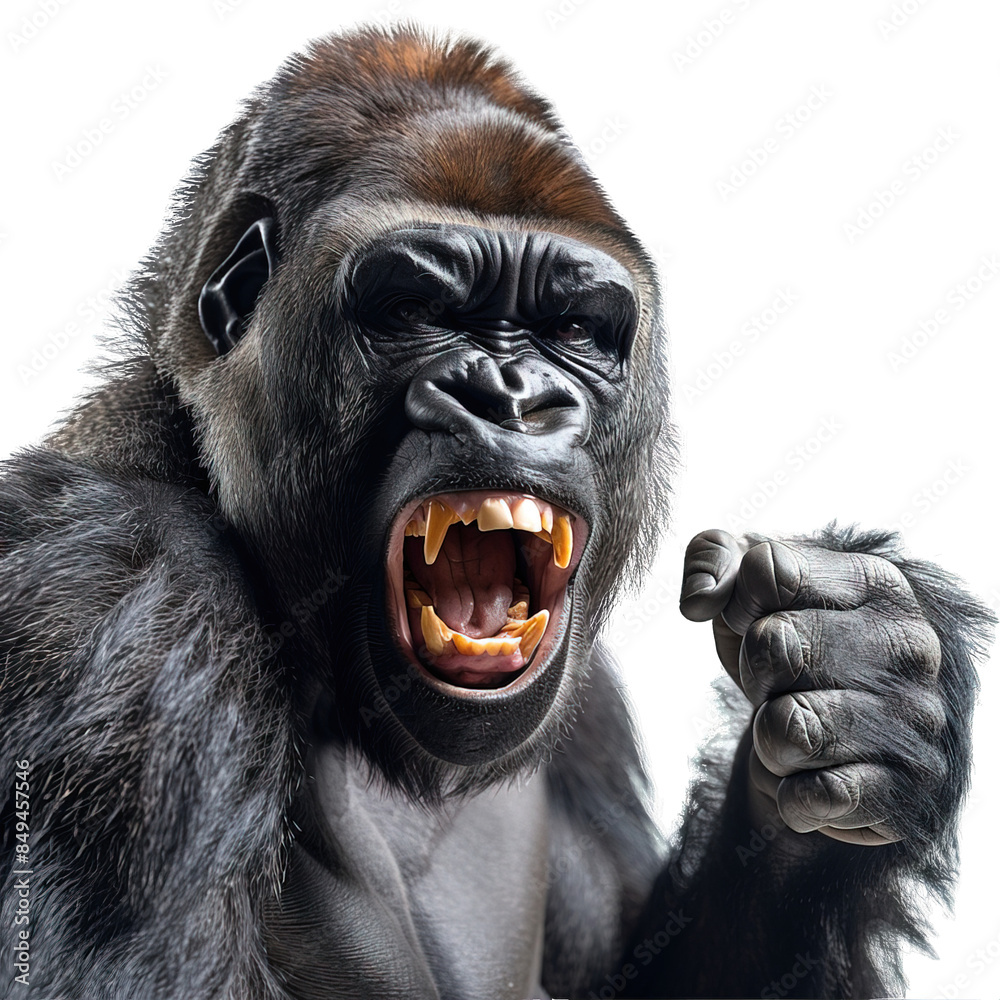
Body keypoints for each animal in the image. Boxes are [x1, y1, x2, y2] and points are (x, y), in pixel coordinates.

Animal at [0, 24, 991, 1000]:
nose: (512, 396)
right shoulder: (116, 599)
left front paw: (856, 695)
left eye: (574, 330)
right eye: (415, 308)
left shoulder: (589, 712)